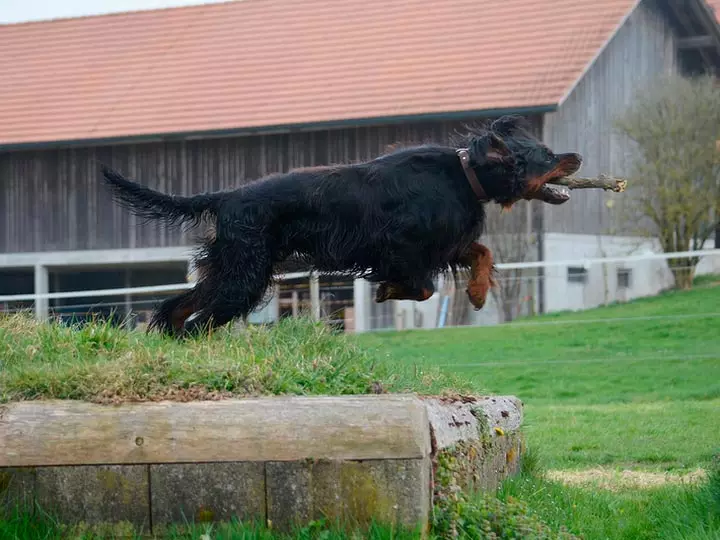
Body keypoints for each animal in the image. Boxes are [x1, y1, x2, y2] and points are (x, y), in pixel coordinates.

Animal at [101, 115, 584, 336]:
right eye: (545, 155)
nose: (577, 155)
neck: (465, 174)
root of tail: (227, 196)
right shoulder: (403, 247)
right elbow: (423, 287)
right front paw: (388, 290)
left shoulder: (441, 243)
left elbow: (481, 251)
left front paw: (479, 292)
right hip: (245, 274)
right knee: (202, 318)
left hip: (232, 267)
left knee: (179, 305)